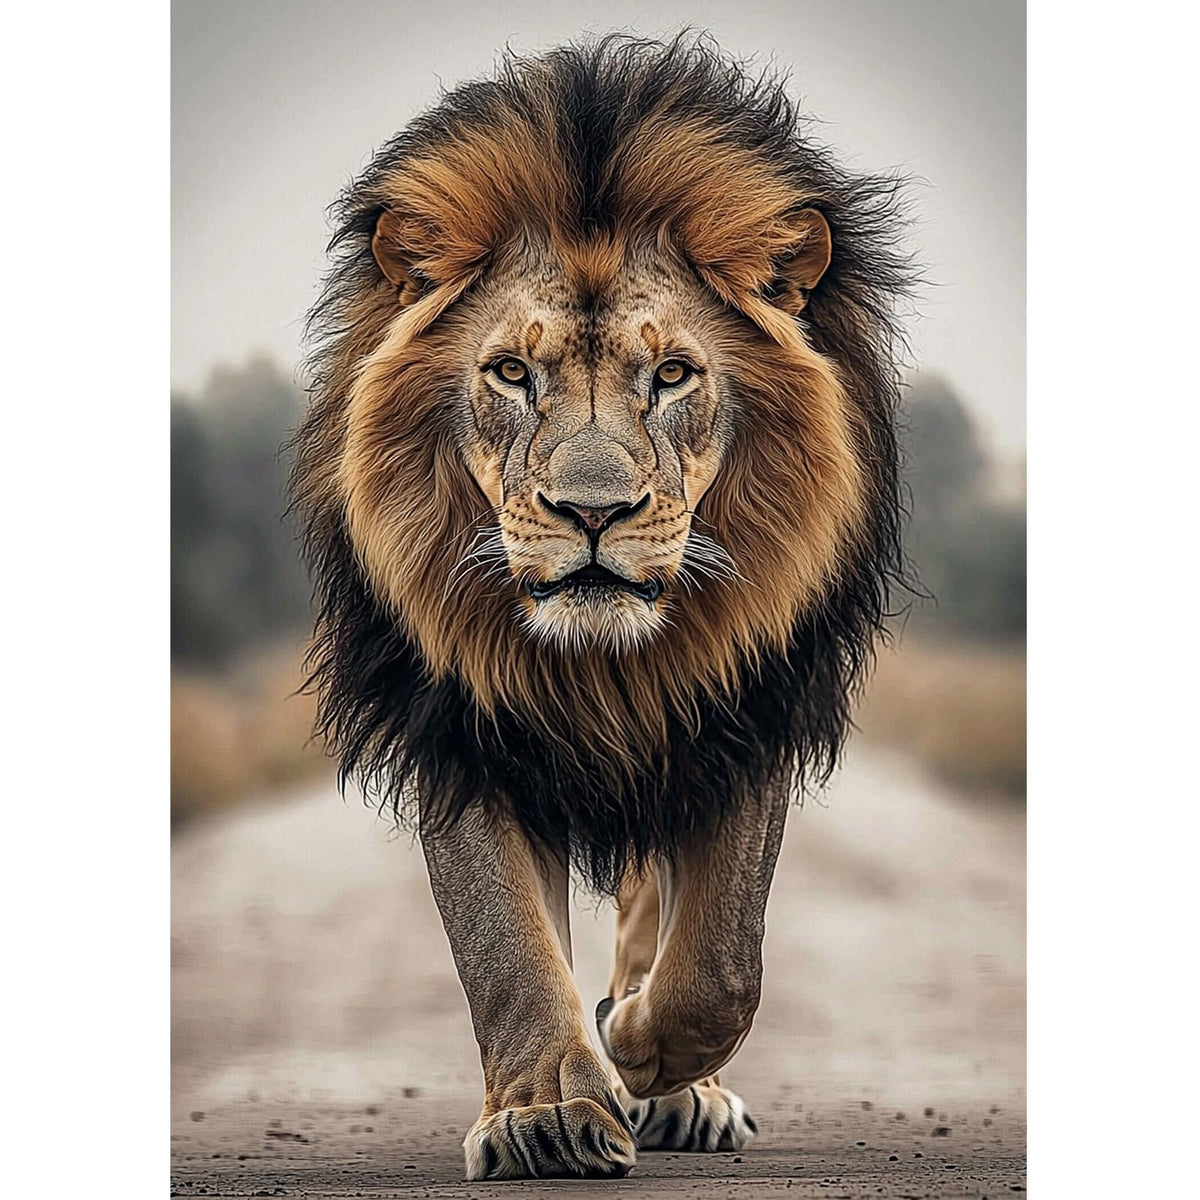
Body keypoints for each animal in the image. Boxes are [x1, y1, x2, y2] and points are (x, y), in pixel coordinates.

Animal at [289, 34, 912, 1181]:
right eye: (510, 372)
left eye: (671, 374)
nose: (592, 511)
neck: (600, 666)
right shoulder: (461, 723)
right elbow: (503, 941)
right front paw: (544, 1115)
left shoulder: (742, 711)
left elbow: (722, 962)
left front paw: (637, 1049)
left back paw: (668, 1078)